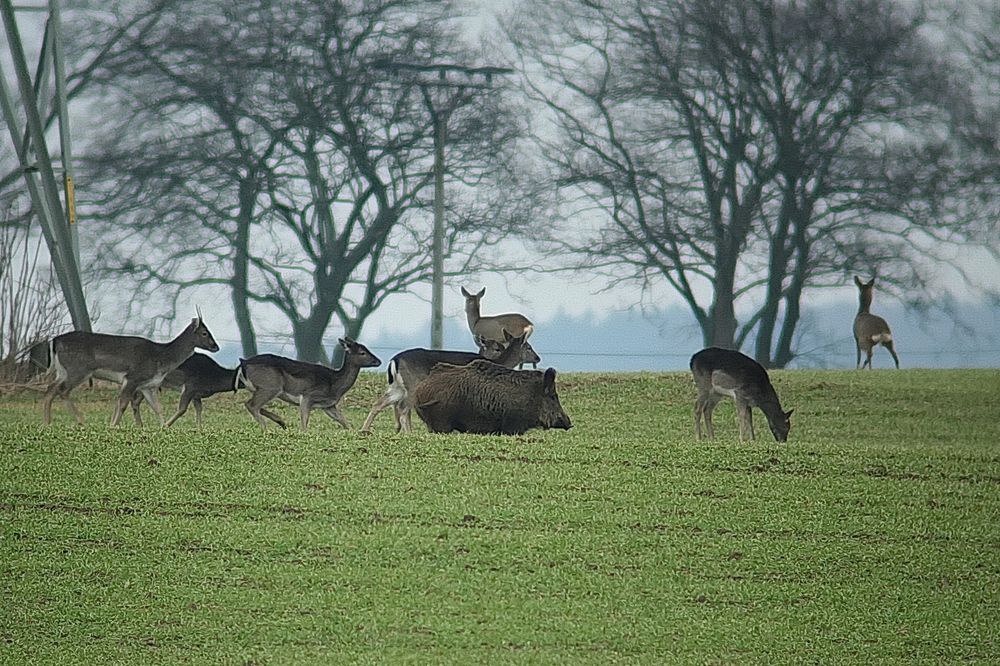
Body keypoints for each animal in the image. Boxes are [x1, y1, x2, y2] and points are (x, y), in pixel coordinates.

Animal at [41, 315, 219, 426]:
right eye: (205, 333)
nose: (216, 347)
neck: (162, 358)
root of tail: (54, 341)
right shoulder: (133, 377)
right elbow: (122, 403)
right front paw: (113, 425)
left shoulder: (147, 385)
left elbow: (157, 407)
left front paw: (164, 427)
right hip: (78, 369)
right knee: (62, 390)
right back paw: (80, 420)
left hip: (62, 371)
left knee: (51, 388)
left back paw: (47, 423)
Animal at [236, 337, 381, 430]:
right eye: (362, 352)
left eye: (366, 349)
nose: (378, 361)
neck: (334, 384)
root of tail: (243, 363)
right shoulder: (308, 396)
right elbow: (304, 424)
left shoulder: (329, 405)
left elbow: (344, 422)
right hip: (271, 387)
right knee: (251, 405)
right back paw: (266, 429)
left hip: (262, 389)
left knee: (252, 404)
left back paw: (281, 423)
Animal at [359, 329, 541, 434]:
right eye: (529, 347)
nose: (538, 357)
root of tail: (393, 361)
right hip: (413, 385)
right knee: (403, 410)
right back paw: (409, 433)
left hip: (398, 387)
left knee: (380, 403)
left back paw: (365, 430)